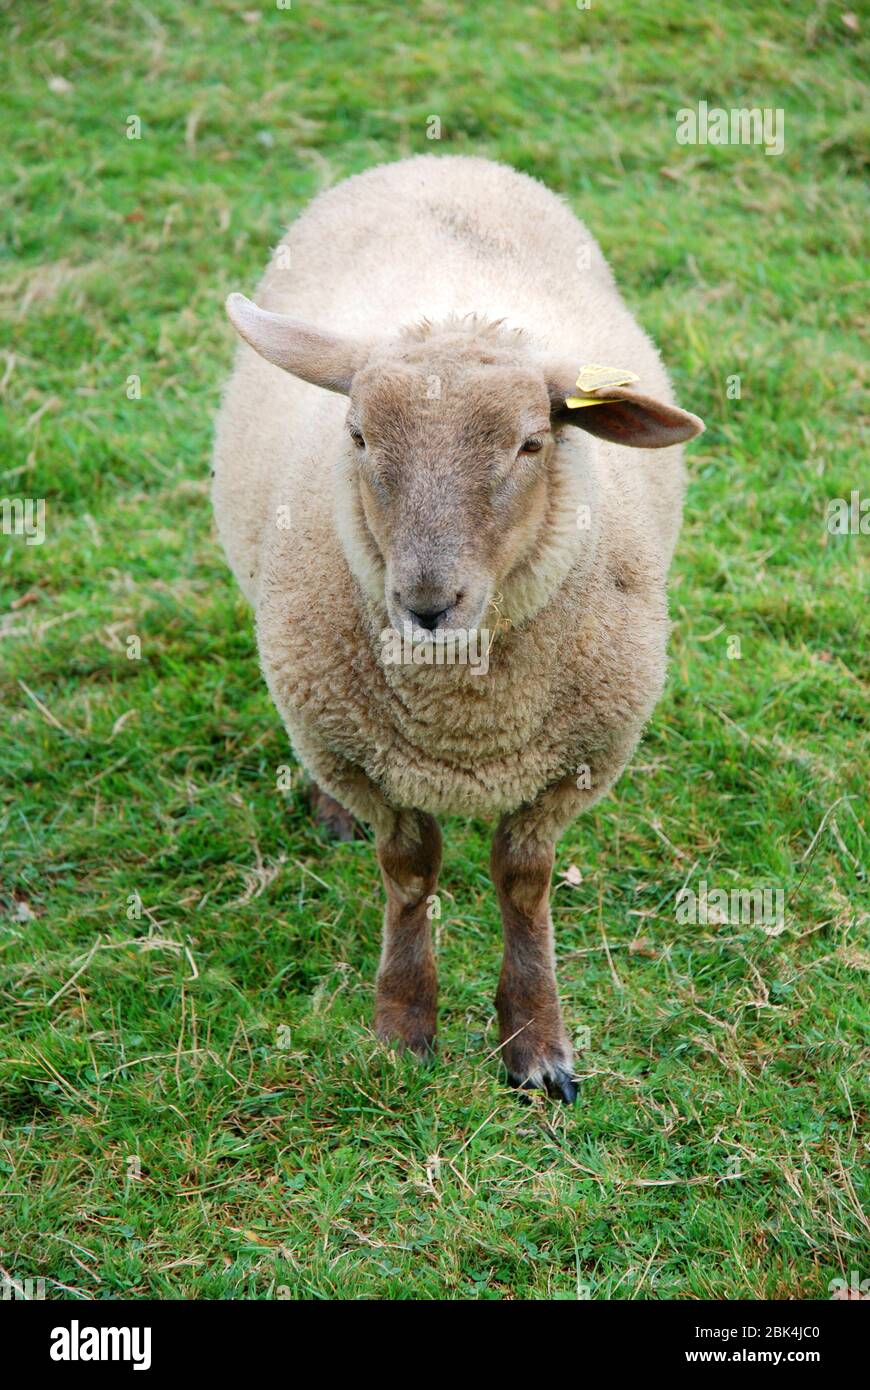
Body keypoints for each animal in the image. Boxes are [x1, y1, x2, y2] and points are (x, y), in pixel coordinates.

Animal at [212, 154, 704, 1102]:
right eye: (359, 436)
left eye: (529, 445)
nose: (426, 602)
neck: (464, 720)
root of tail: (433, 158)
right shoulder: (368, 758)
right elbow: (409, 877)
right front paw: (403, 1029)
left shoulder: (572, 766)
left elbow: (522, 883)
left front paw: (537, 1045)